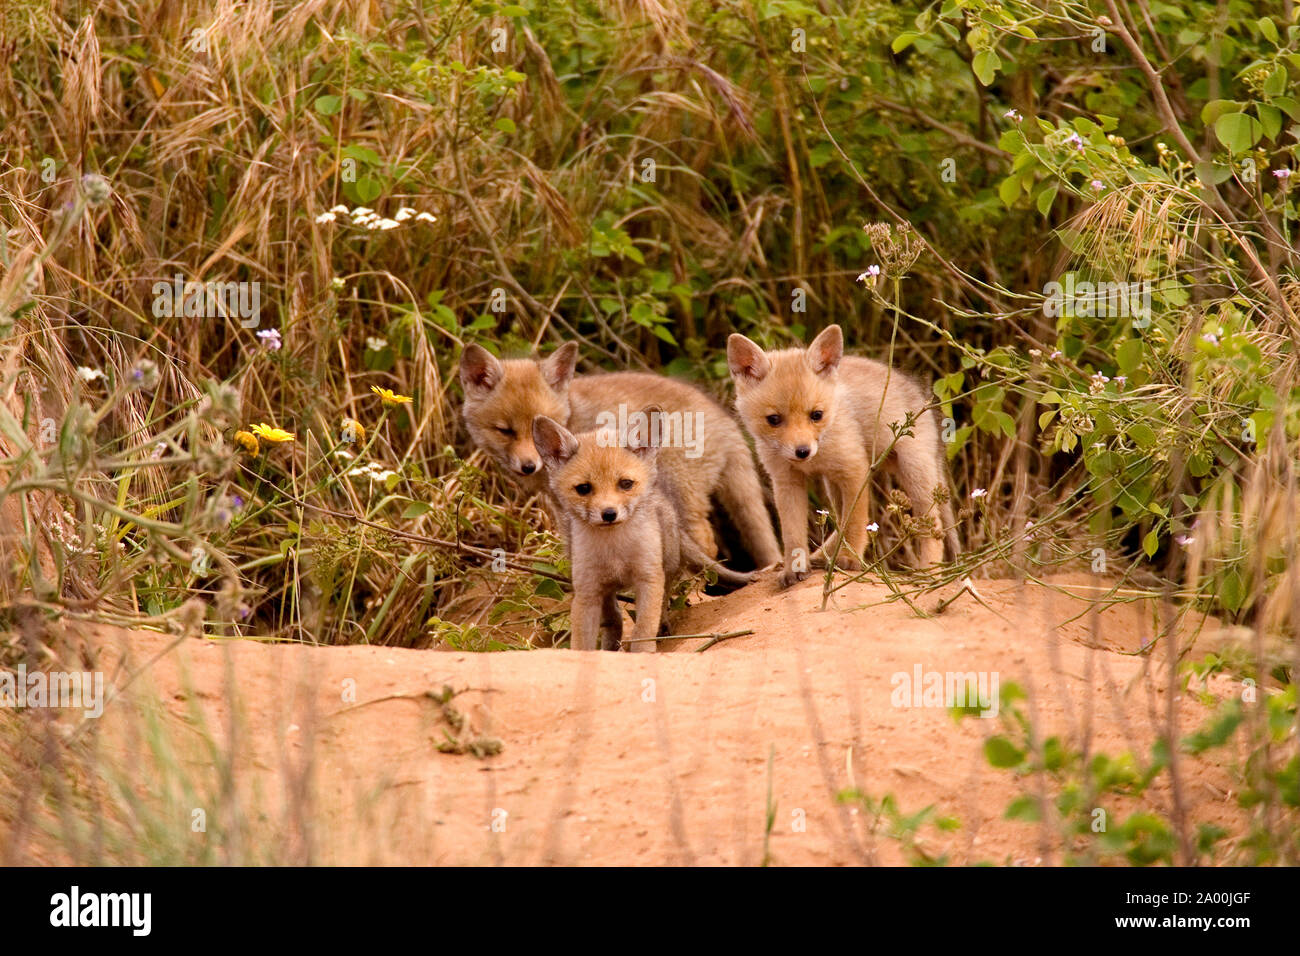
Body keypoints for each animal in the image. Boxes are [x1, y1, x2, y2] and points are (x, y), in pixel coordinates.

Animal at [459, 341, 782, 569]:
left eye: (536, 424)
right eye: (505, 430)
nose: (528, 466)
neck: (572, 416)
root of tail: (727, 421)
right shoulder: (564, 503)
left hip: (680, 491)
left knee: (705, 541)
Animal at [532, 410, 755, 652]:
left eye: (626, 484)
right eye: (583, 488)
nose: (609, 514)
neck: (614, 549)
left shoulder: (649, 577)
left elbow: (643, 628)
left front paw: (643, 651)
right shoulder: (587, 590)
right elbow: (583, 642)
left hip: (667, 566)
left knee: (663, 601)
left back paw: (662, 627)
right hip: (605, 589)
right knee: (614, 618)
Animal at [727, 324, 959, 588]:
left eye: (816, 415)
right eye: (773, 420)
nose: (802, 451)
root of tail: (922, 397)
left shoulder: (854, 469)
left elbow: (855, 522)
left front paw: (849, 558)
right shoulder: (786, 480)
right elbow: (793, 533)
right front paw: (795, 567)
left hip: (914, 471)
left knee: (933, 526)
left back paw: (927, 573)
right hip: (834, 483)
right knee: (839, 522)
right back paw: (822, 555)